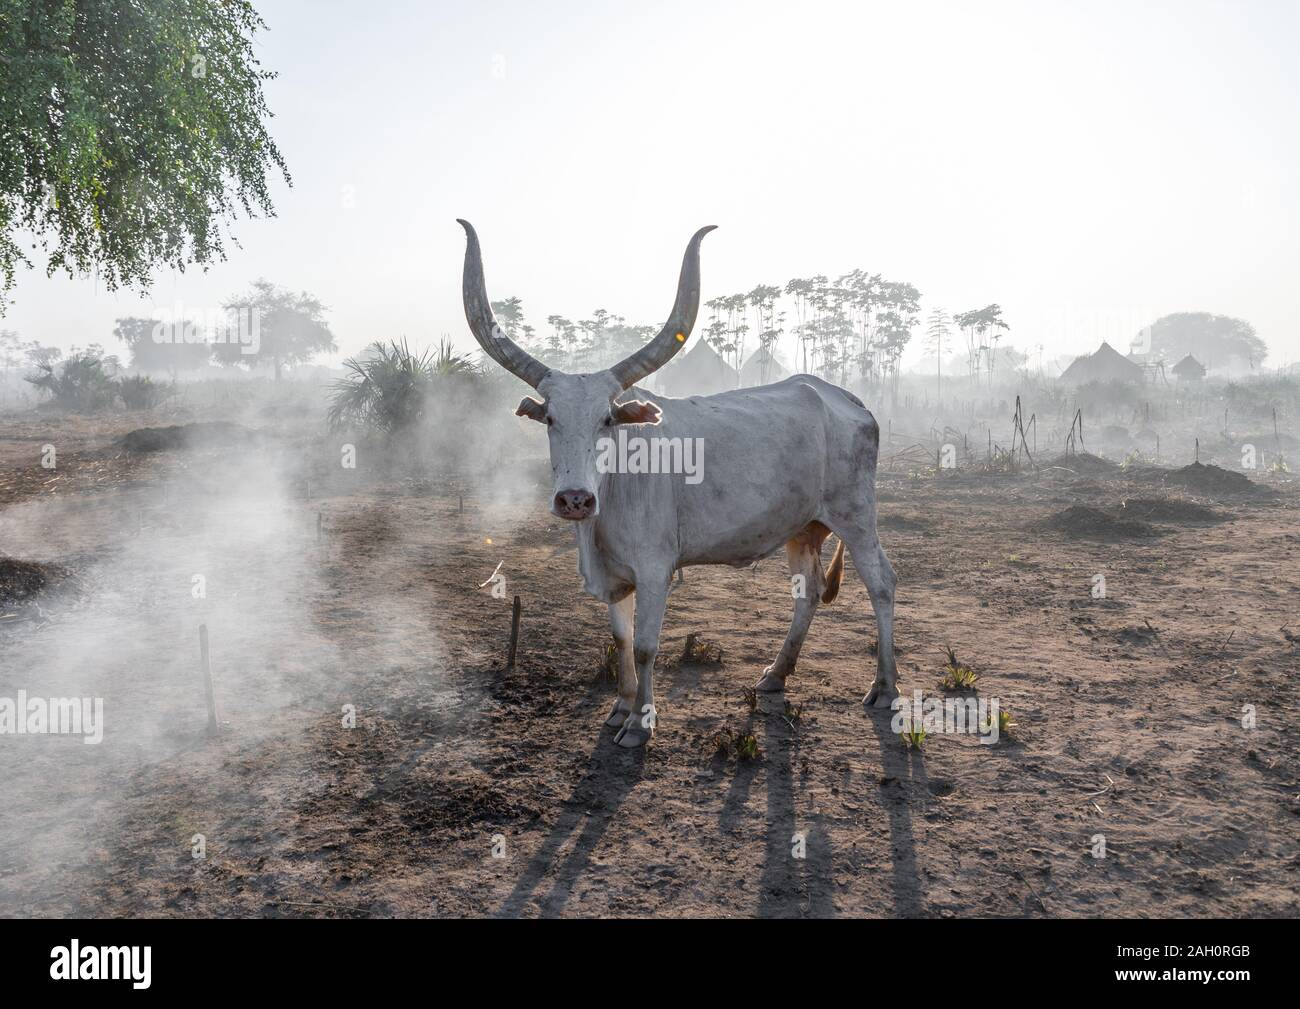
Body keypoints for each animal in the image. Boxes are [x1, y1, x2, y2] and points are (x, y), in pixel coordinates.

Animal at [458, 220, 899, 747]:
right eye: (550, 419)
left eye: (608, 419)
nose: (575, 500)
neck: (612, 498)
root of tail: (845, 397)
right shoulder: (614, 576)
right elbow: (621, 638)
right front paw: (620, 707)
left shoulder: (654, 569)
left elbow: (646, 646)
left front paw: (639, 723)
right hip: (803, 527)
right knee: (808, 592)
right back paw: (776, 674)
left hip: (857, 516)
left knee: (882, 583)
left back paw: (885, 687)